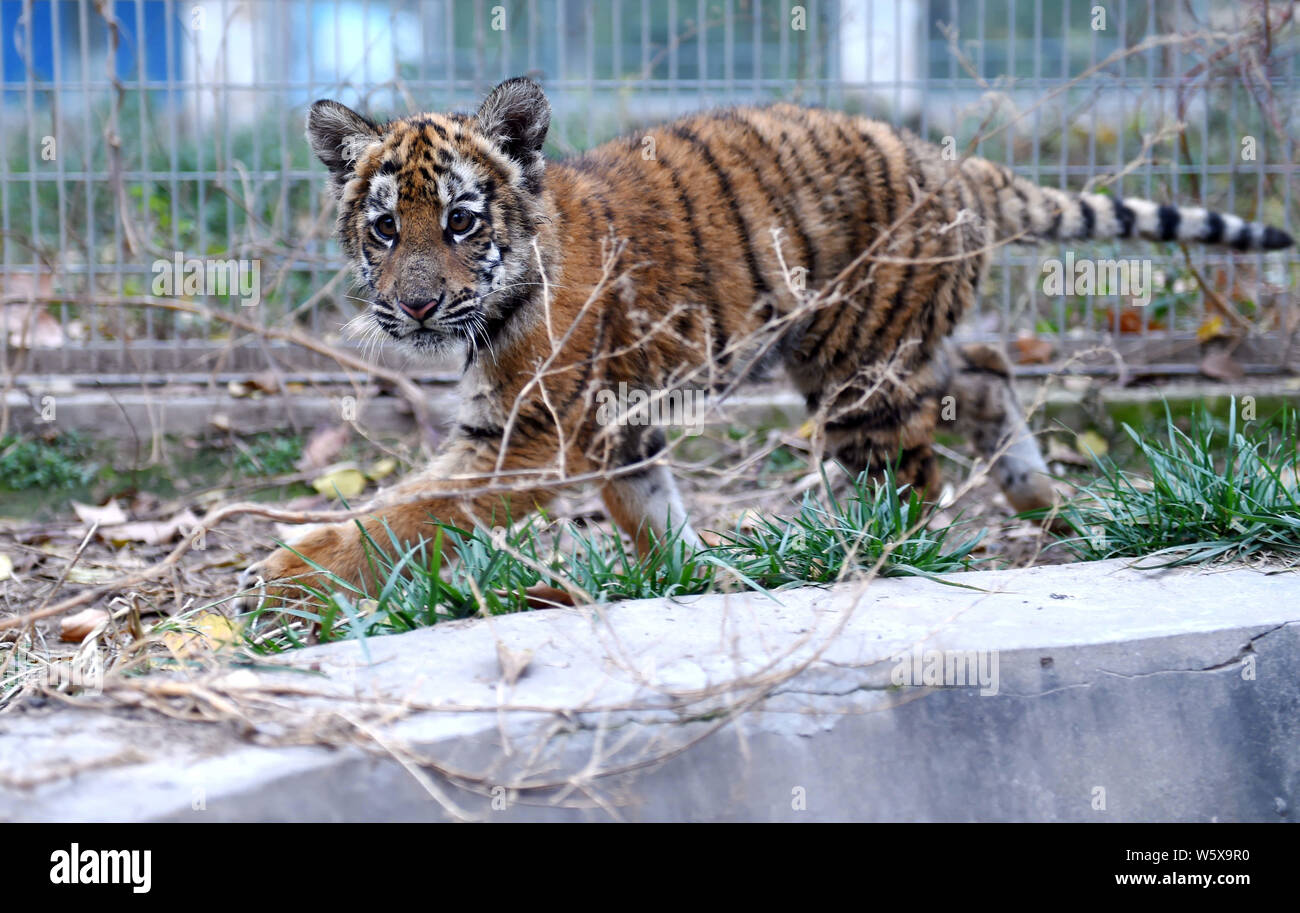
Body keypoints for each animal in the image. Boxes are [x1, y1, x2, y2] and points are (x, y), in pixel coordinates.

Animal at [237, 76, 1294, 603]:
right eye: (384, 228)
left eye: (460, 221)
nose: (415, 309)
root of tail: (955, 165)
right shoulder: (613, 430)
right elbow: (651, 509)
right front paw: (695, 574)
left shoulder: (529, 436)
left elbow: (411, 508)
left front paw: (284, 574)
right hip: (891, 341)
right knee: (988, 367)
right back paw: (1042, 498)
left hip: (860, 369)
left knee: (912, 478)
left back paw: (868, 554)